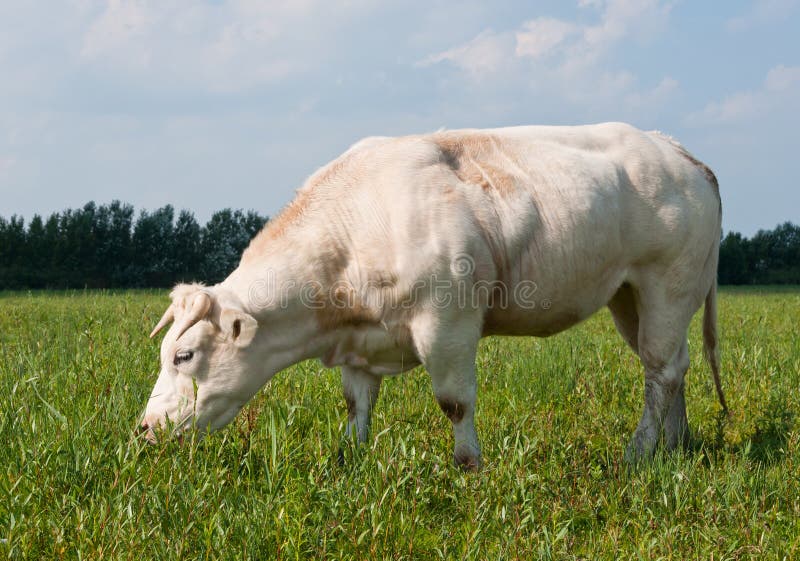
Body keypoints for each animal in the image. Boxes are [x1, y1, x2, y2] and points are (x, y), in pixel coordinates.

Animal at [141, 122, 727, 469]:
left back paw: (639, 452)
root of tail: (679, 152)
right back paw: (673, 447)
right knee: (673, 366)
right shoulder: (360, 343)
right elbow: (356, 403)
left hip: (667, 284)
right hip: (629, 296)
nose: (146, 429)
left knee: (661, 370)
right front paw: (350, 462)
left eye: (184, 355)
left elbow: (454, 402)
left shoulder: (448, 326)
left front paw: (469, 468)